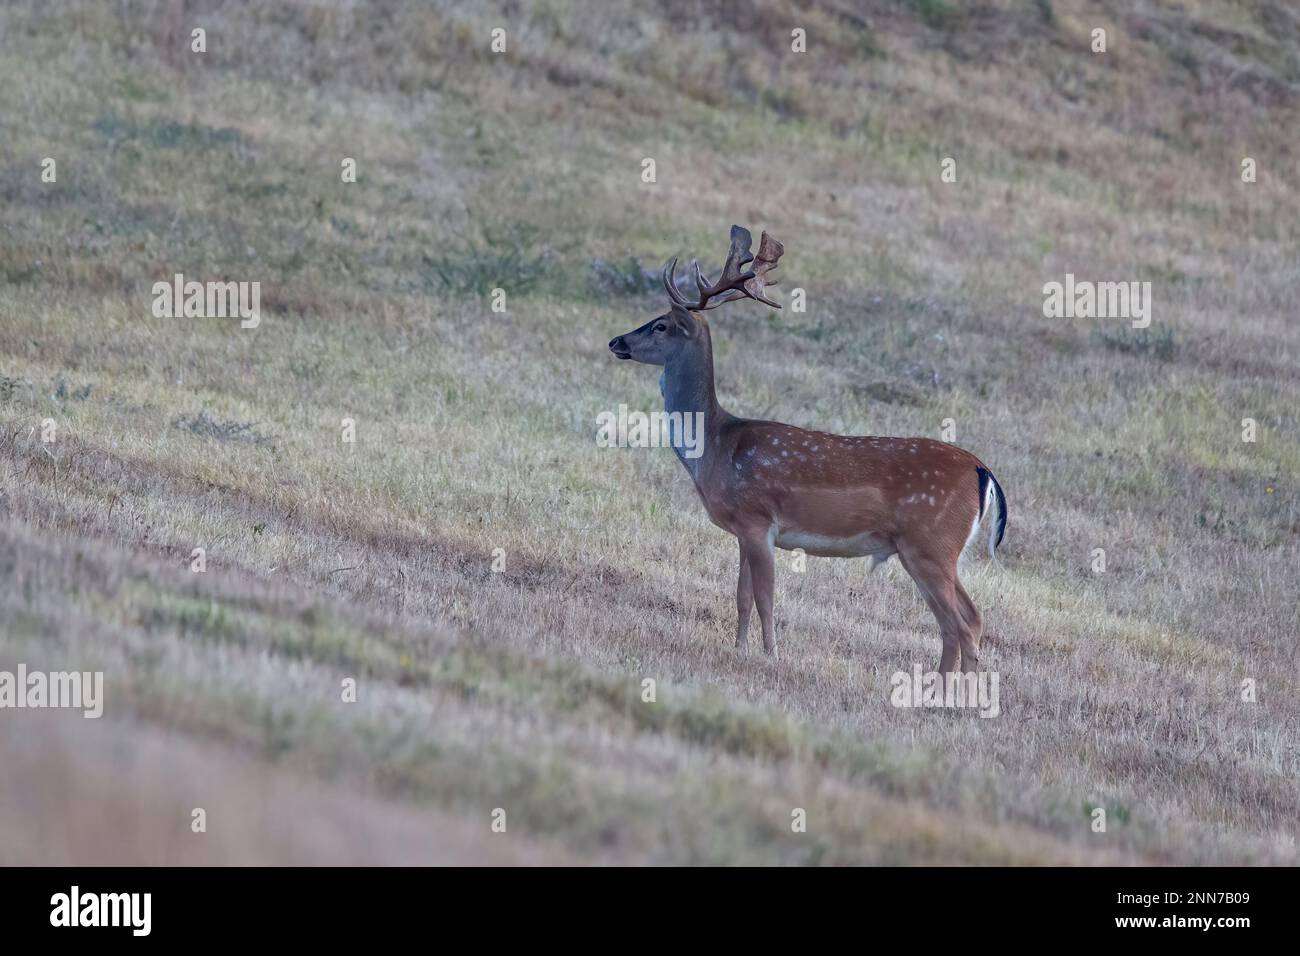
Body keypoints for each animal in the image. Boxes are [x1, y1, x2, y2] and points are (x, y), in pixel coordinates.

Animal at [608, 226, 1007, 674]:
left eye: (660, 325)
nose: (616, 341)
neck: (715, 447)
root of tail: (983, 471)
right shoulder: (743, 530)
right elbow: (742, 596)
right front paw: (739, 650)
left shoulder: (758, 519)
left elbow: (765, 597)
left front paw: (771, 655)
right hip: (927, 551)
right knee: (955, 623)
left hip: (932, 544)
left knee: (967, 621)